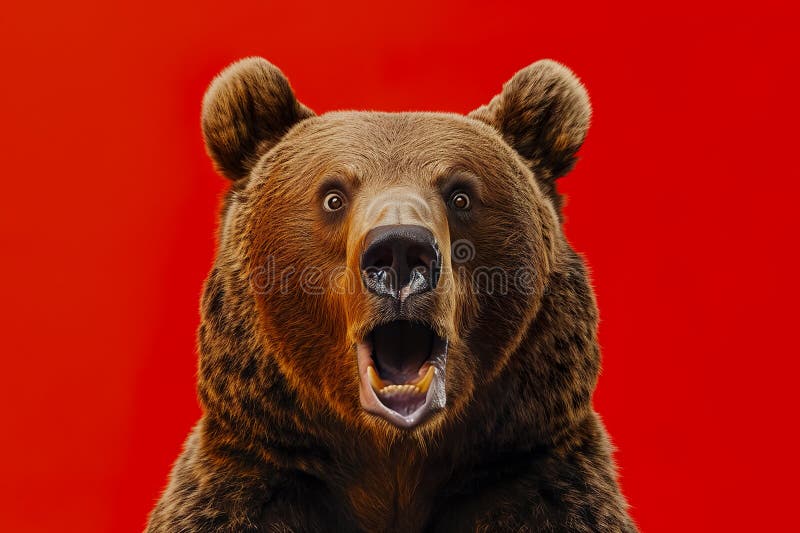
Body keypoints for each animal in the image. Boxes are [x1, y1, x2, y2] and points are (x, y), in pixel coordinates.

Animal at [146, 57, 636, 532]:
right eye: (333, 196)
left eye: (461, 195)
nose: (400, 251)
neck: (394, 460)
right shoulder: (253, 481)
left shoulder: (532, 480)